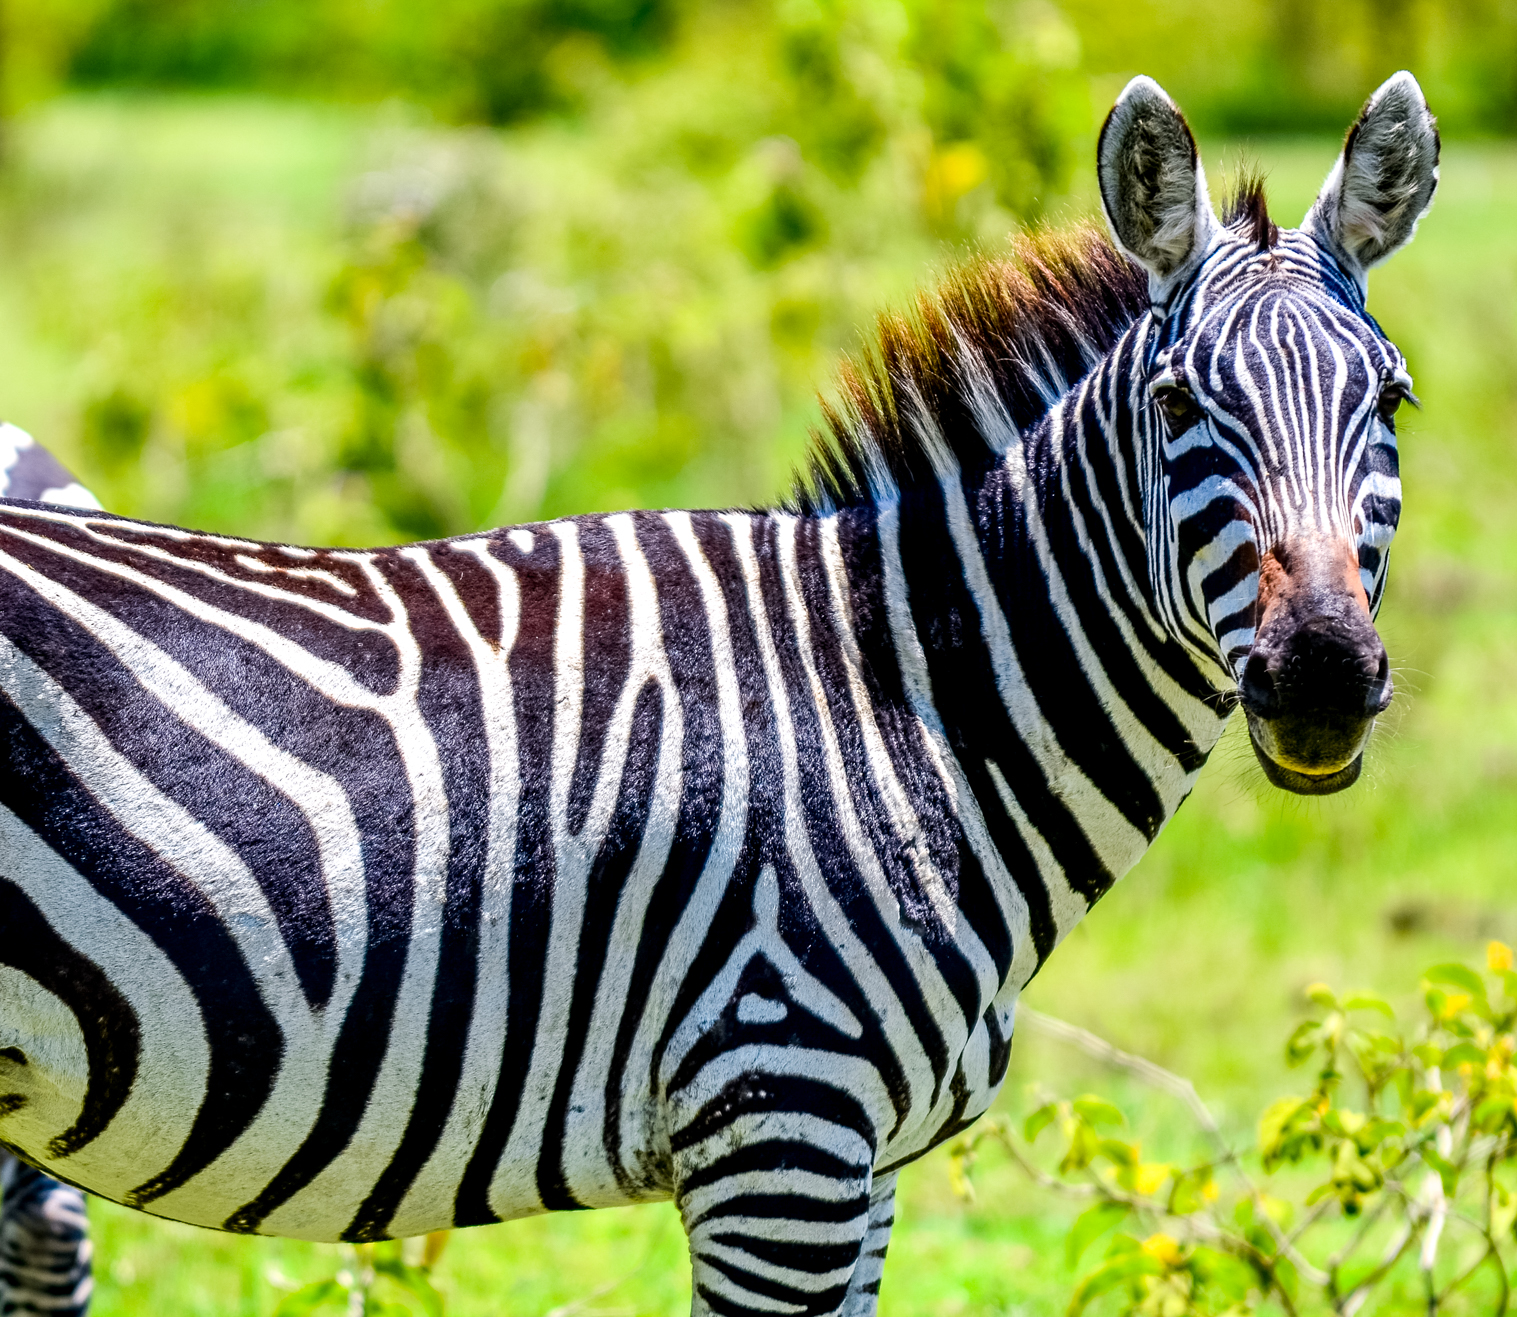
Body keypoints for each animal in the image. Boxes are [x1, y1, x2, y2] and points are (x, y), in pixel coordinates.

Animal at [0, 71, 1435, 1316]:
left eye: (1393, 401)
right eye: (1178, 400)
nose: (1318, 677)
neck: (902, 706)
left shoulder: (859, 1175)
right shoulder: (778, 1126)